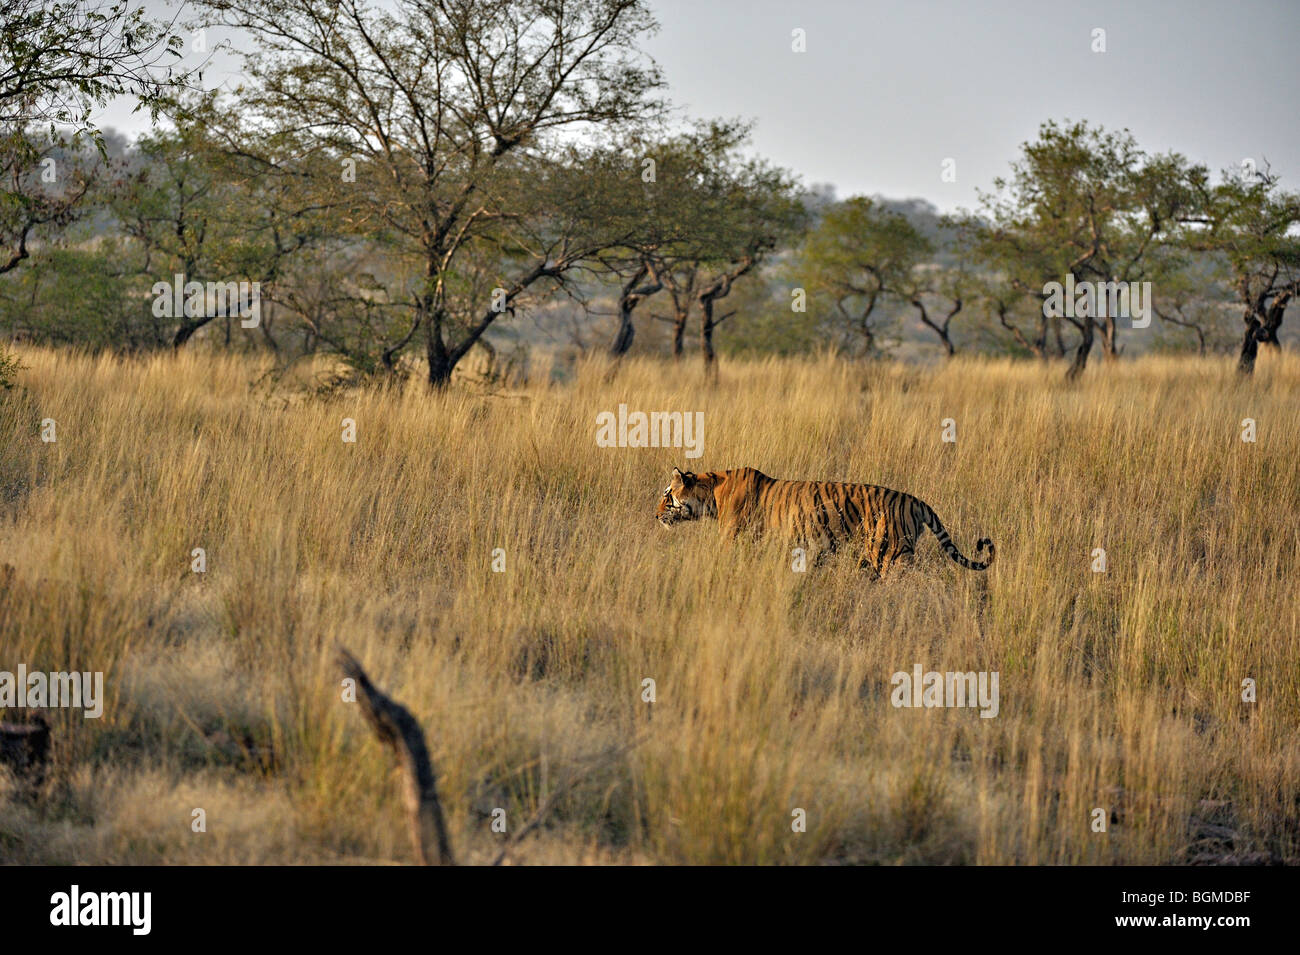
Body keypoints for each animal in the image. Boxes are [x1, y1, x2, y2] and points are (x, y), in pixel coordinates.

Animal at [656, 466, 995, 576]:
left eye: (667, 496)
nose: (655, 515)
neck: (711, 492)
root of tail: (914, 500)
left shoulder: (733, 541)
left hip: (890, 556)